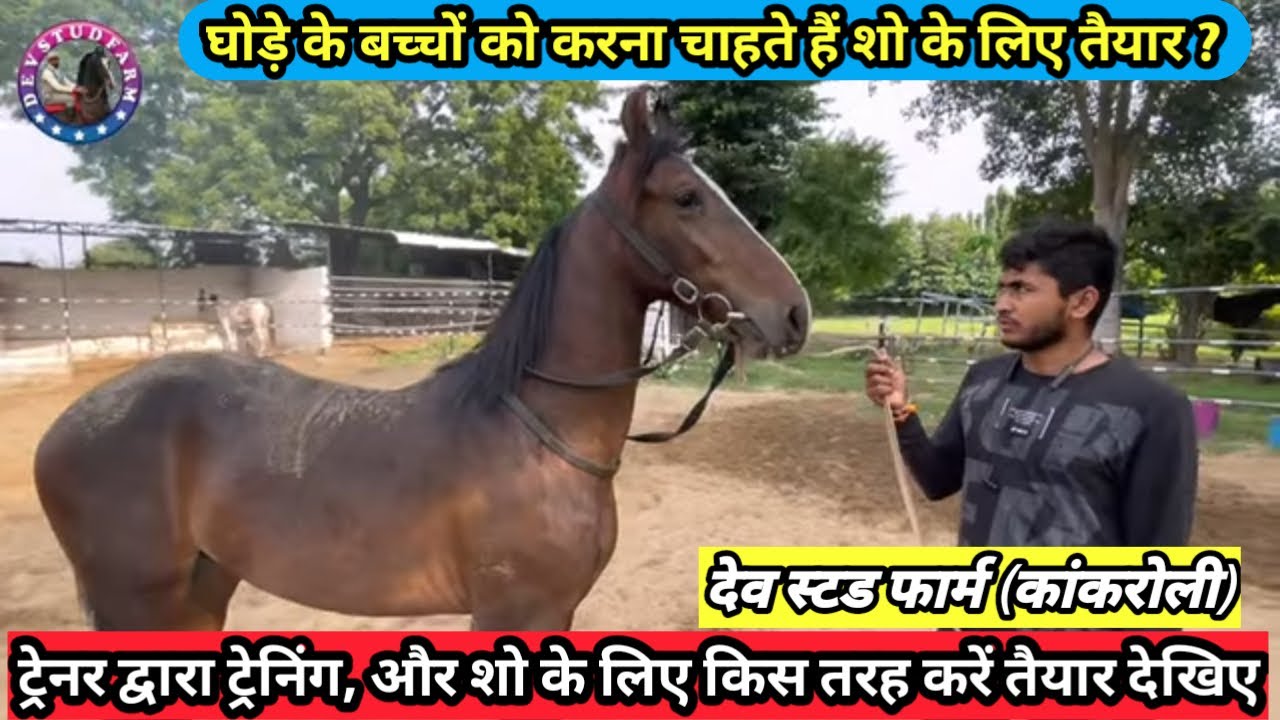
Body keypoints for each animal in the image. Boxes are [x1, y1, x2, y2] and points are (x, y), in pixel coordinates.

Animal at [32, 86, 811, 633]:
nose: (794, 312)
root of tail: (63, 429)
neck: (537, 438)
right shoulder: (514, 613)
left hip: (201, 591)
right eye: (686, 198)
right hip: (139, 601)